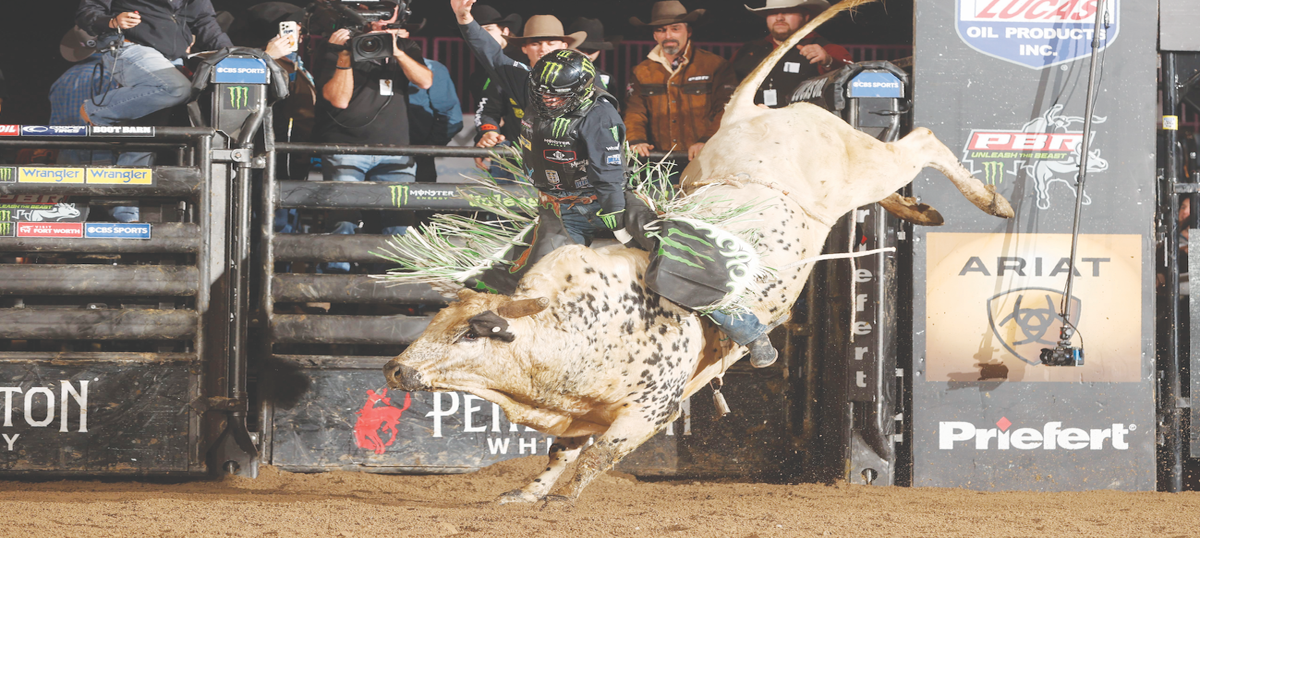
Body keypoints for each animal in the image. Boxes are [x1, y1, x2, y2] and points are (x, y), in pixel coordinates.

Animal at [384, 0, 1013, 504]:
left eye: (473, 332)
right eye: (438, 318)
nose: (395, 368)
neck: (574, 327)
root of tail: (747, 113)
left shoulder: (649, 410)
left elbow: (597, 457)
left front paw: (560, 502)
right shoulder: (580, 415)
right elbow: (561, 454)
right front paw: (524, 495)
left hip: (859, 166)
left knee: (922, 141)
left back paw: (994, 202)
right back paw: (920, 211)